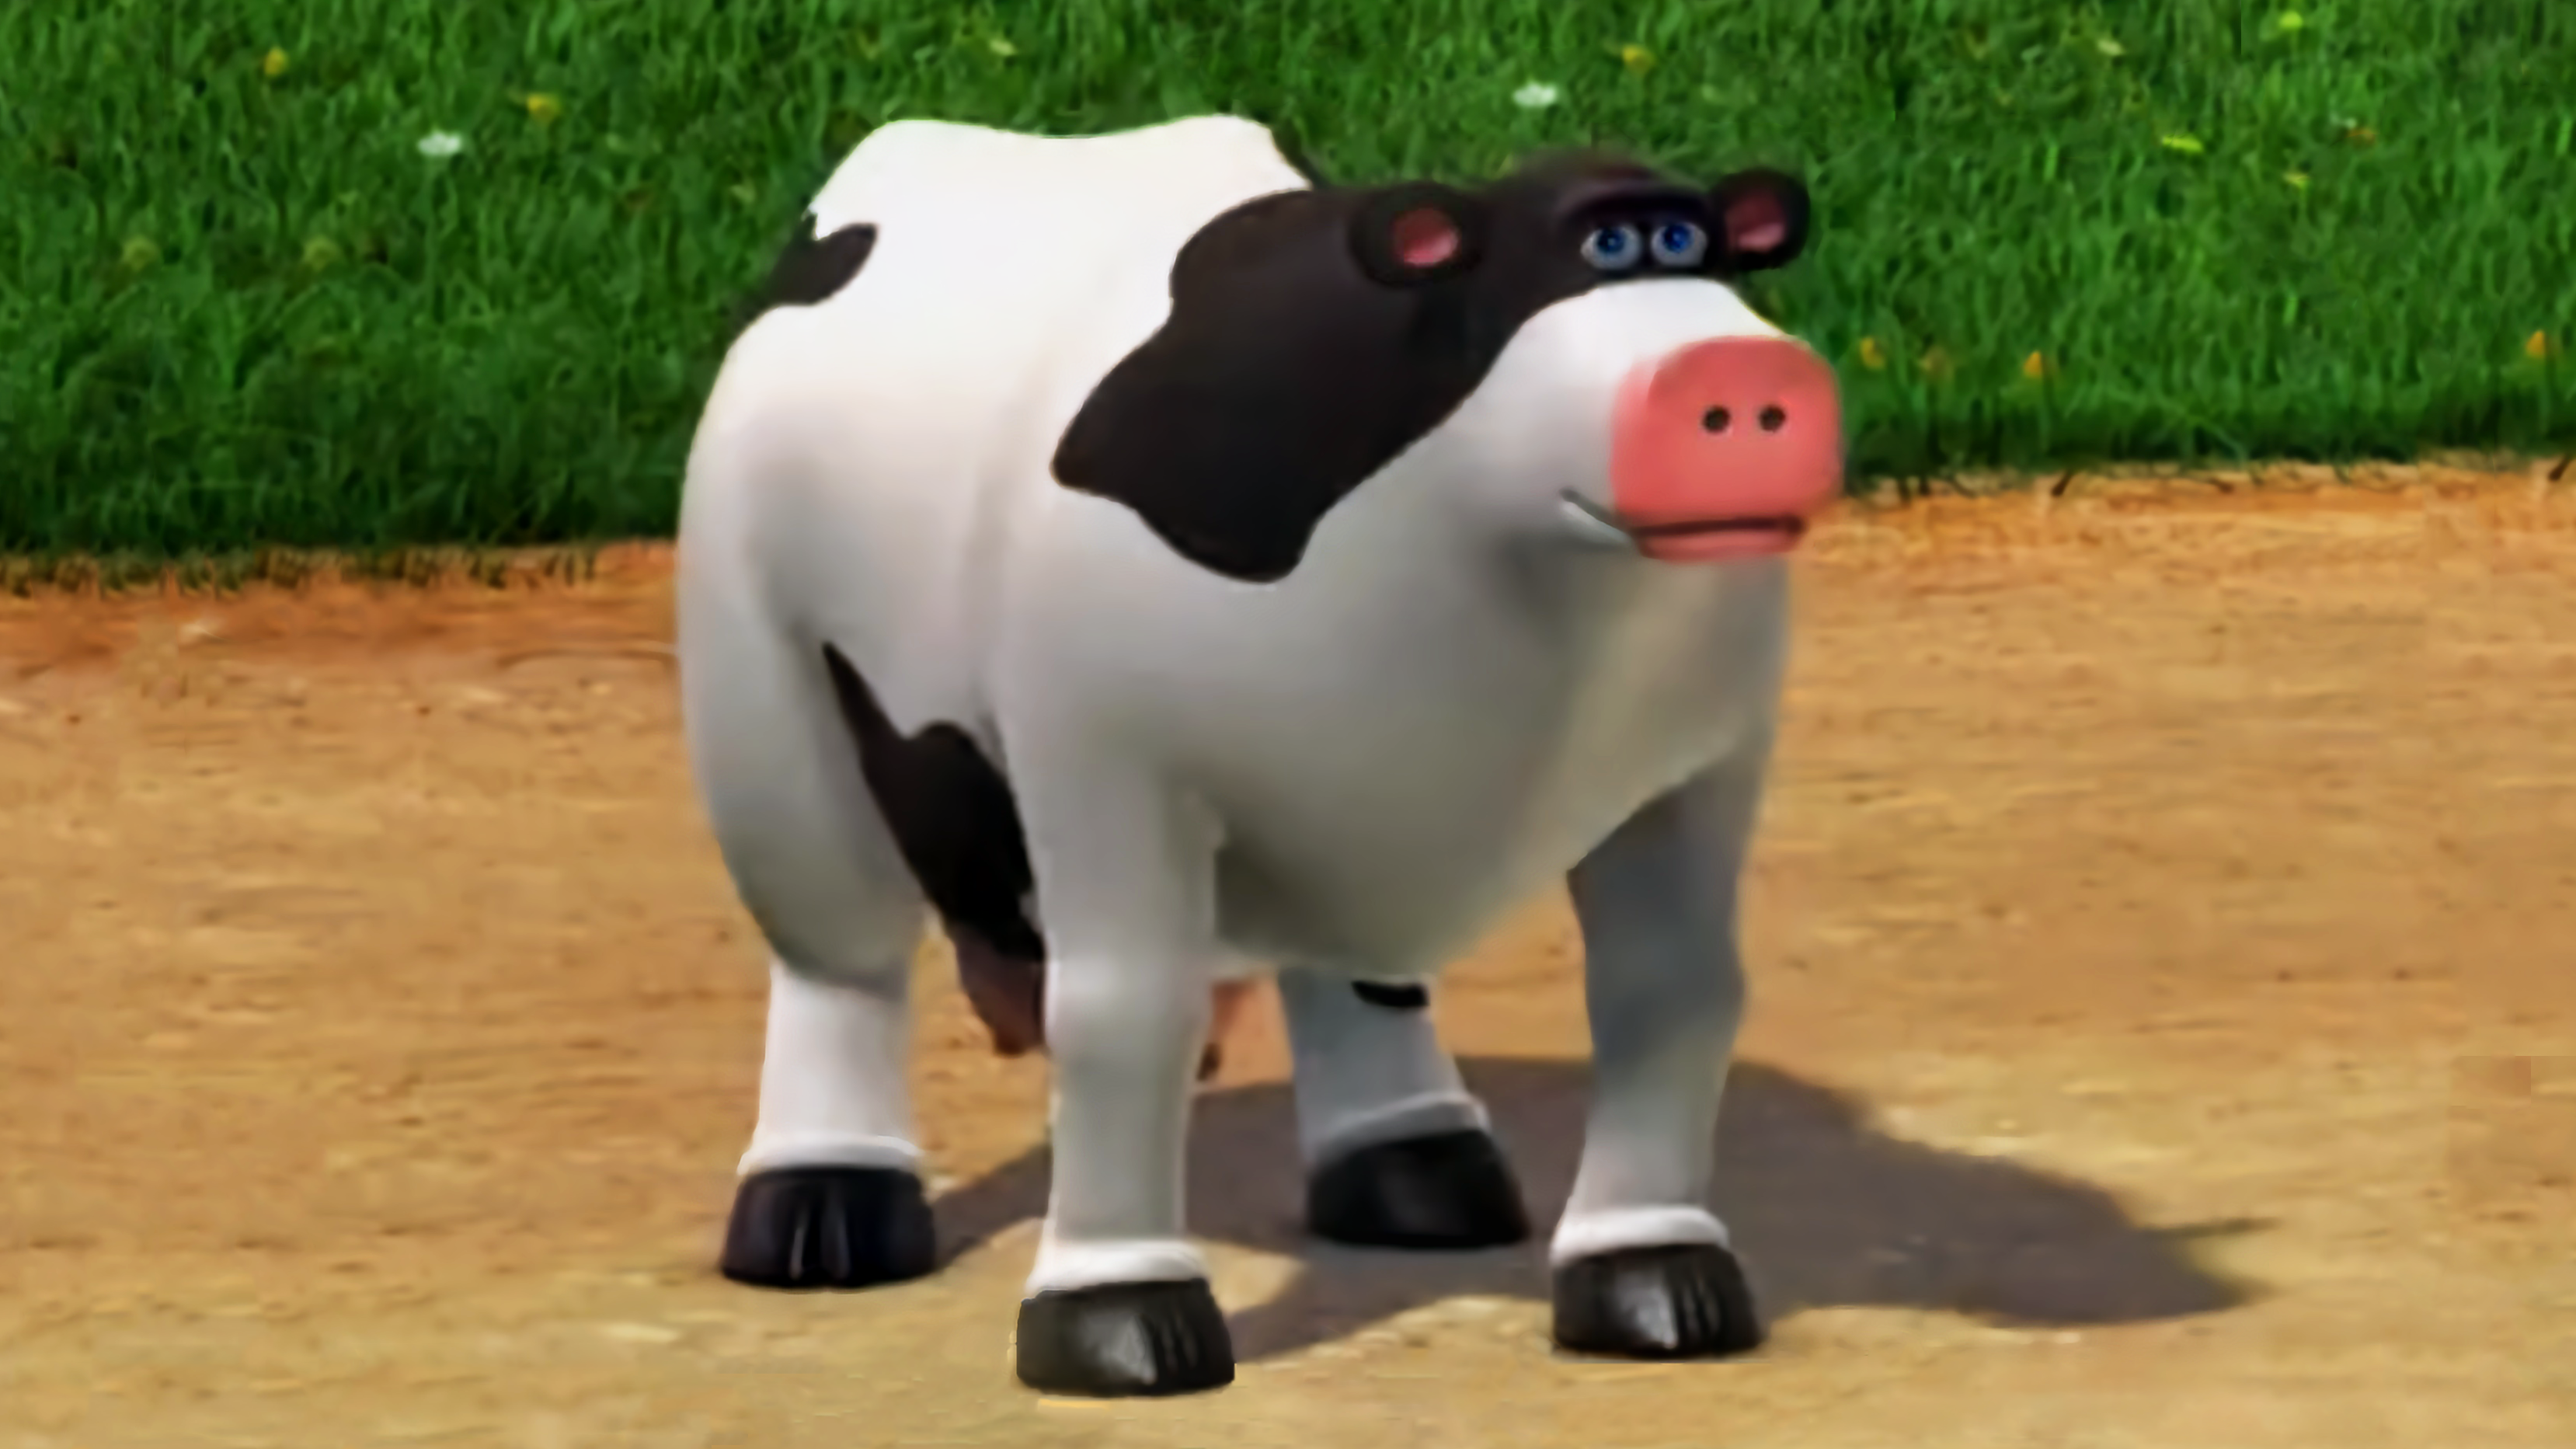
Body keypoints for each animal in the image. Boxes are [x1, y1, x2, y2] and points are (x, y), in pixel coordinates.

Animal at [676, 114, 1842, 1397]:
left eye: (1695, 247)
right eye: (1576, 260)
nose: (1739, 377)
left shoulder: (1704, 756)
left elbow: (1673, 990)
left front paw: (1651, 1277)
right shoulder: (1099, 751)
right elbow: (1124, 1014)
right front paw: (1115, 1315)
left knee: (1359, 980)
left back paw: (1418, 1168)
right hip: (758, 692)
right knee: (838, 955)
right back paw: (821, 1205)